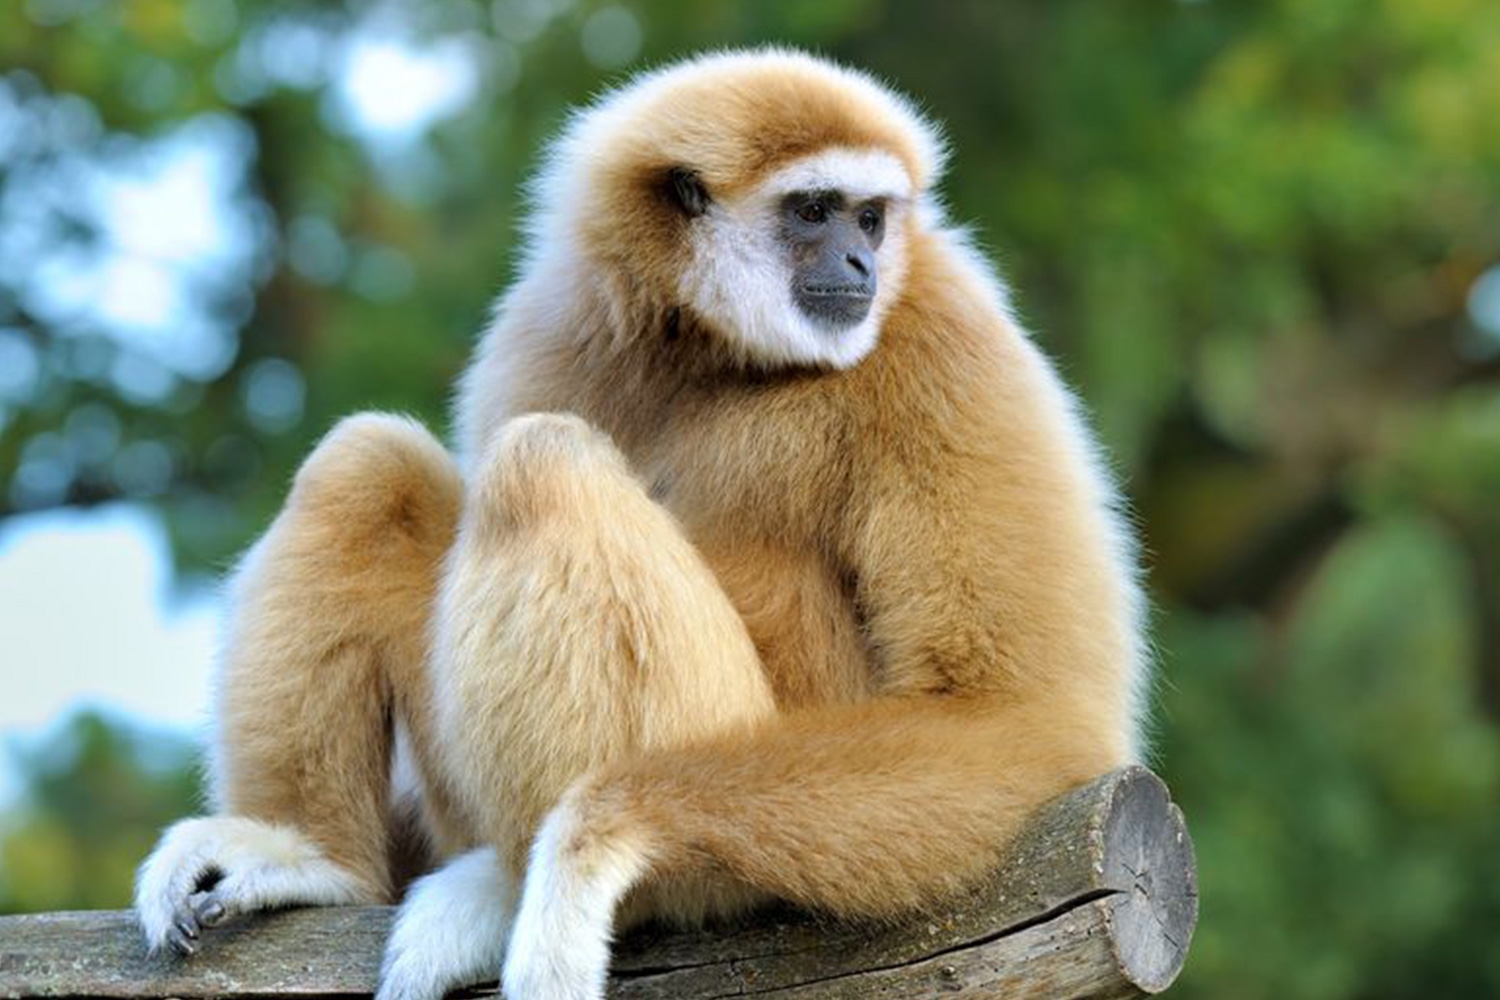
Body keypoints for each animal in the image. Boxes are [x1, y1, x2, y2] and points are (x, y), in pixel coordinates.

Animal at [133, 48, 1148, 1000]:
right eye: (815, 212)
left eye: (870, 219)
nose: (862, 264)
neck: (715, 347)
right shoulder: (551, 324)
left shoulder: (949, 335)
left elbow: (1018, 716)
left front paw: (597, 836)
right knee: (368, 461)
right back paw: (318, 860)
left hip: (746, 845)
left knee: (538, 467)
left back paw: (518, 887)